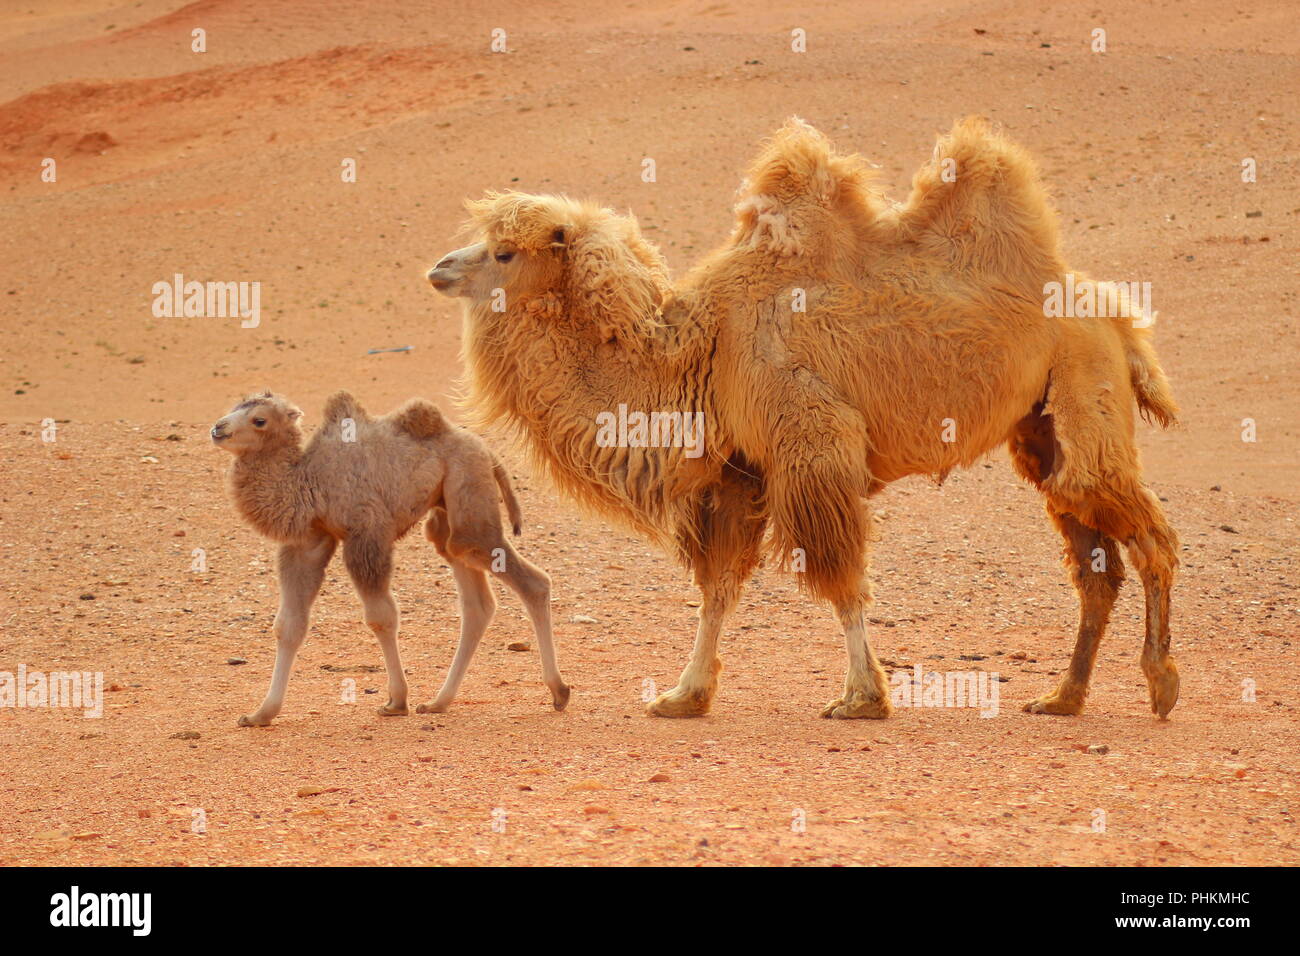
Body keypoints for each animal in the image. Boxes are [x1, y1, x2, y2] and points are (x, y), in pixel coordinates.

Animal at [211, 390, 569, 726]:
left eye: (259, 420)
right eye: (234, 407)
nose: (218, 428)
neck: (309, 480)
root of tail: (488, 451)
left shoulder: (367, 534)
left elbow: (380, 617)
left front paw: (396, 701)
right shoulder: (308, 542)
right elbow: (289, 625)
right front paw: (260, 714)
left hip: (469, 493)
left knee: (527, 578)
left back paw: (559, 691)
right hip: (446, 511)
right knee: (474, 597)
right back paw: (438, 702)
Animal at [425, 116, 1181, 721]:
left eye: (504, 252)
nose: (438, 268)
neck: (702, 354)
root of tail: (1116, 313)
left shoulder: (812, 443)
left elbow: (841, 578)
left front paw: (861, 698)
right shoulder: (739, 474)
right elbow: (719, 588)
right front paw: (684, 696)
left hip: (1084, 383)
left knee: (1146, 535)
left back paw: (1161, 685)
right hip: (1041, 428)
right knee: (1094, 563)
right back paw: (1063, 697)